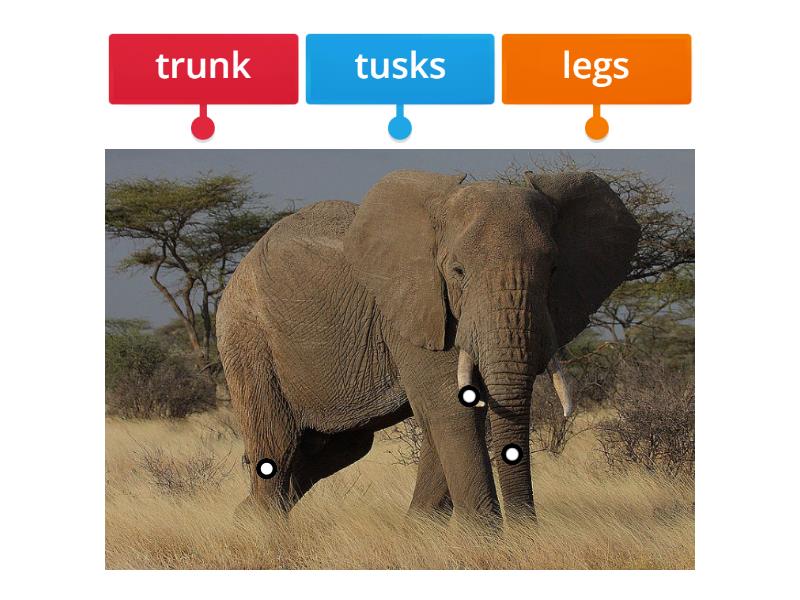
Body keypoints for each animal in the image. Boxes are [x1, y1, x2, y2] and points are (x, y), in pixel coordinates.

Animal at [216, 169, 640, 526]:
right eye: (457, 271)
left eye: (553, 270)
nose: (529, 532)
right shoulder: (412, 307)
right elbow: (451, 405)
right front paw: (479, 539)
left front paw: (422, 531)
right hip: (247, 336)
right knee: (279, 442)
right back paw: (260, 528)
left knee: (342, 446)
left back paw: (244, 516)